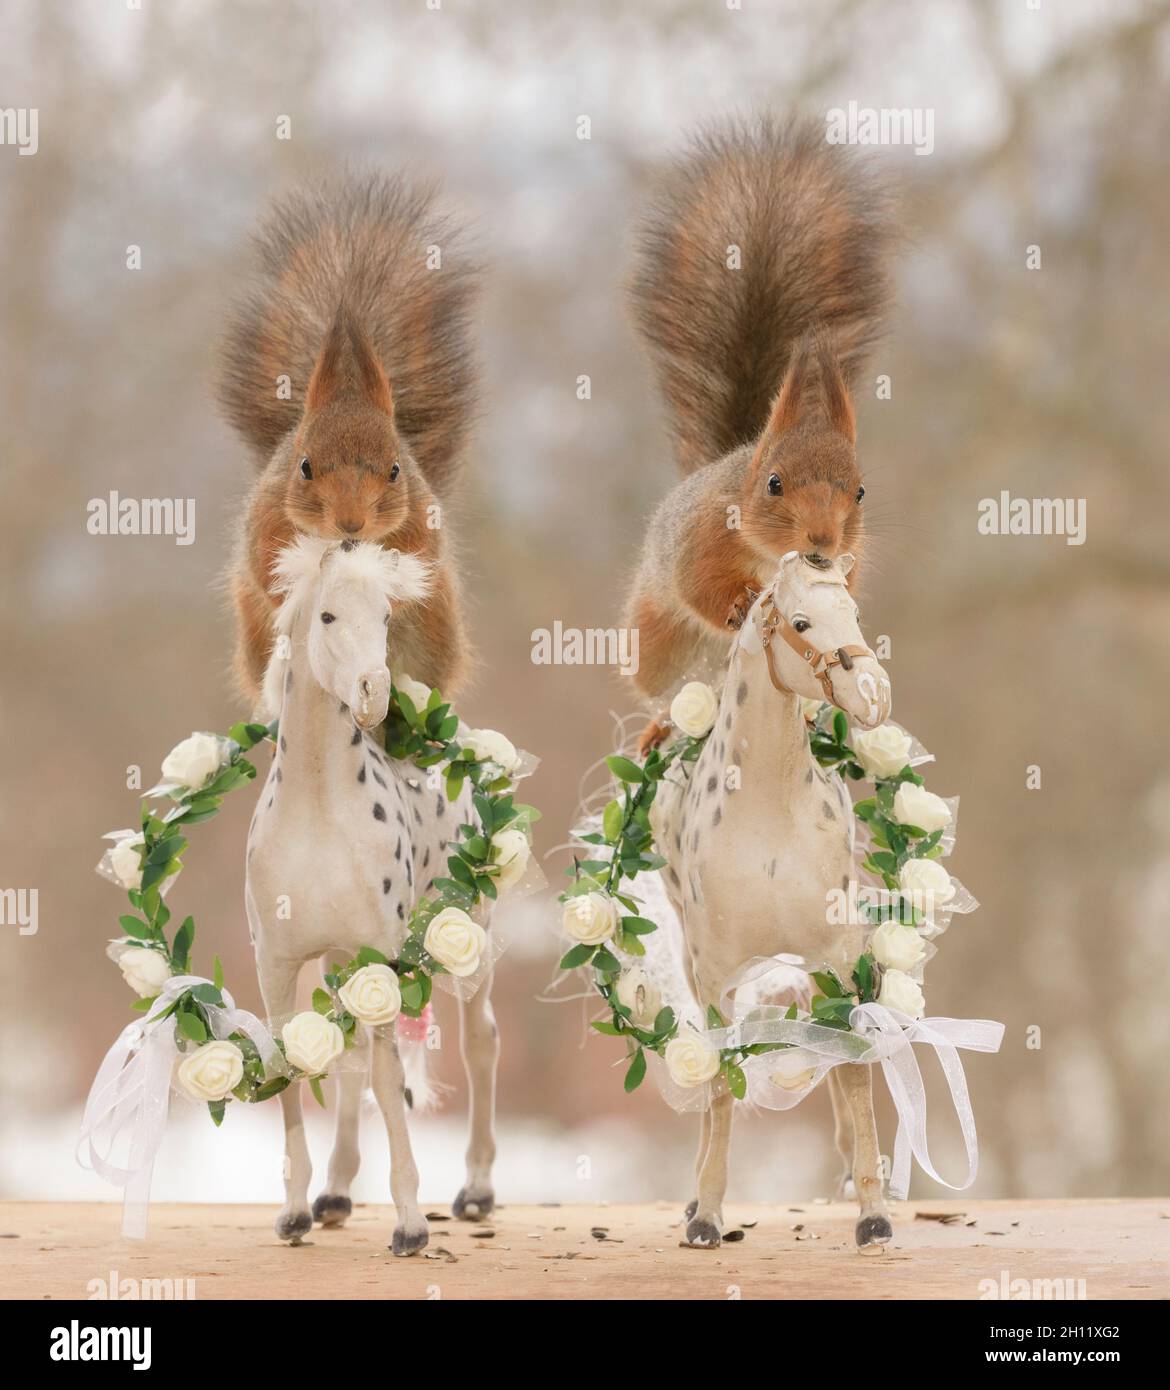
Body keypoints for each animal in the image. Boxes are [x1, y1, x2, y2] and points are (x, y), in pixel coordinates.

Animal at [218, 173, 480, 707]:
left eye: (396, 469)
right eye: (303, 466)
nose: (351, 522)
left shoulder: (422, 521)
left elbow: (418, 563)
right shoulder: (267, 517)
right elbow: (265, 566)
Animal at [245, 536, 499, 1256]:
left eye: (386, 618)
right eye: (328, 615)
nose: (373, 694)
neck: (318, 816)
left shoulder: (380, 964)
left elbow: (390, 1084)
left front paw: (411, 1223)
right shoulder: (278, 965)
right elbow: (294, 1067)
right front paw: (294, 1212)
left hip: (471, 948)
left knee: (481, 1043)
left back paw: (476, 1190)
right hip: (338, 964)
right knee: (352, 1061)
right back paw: (334, 1193)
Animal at [623, 115, 898, 718]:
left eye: (861, 491)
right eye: (774, 484)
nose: (822, 540)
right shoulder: (703, 536)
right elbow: (699, 586)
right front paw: (737, 604)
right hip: (656, 635)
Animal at [652, 550, 894, 1250]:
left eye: (855, 612)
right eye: (801, 620)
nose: (874, 693)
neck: (767, 815)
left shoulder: (839, 958)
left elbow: (853, 1069)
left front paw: (873, 1211)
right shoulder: (716, 978)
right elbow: (718, 1086)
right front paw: (706, 1214)